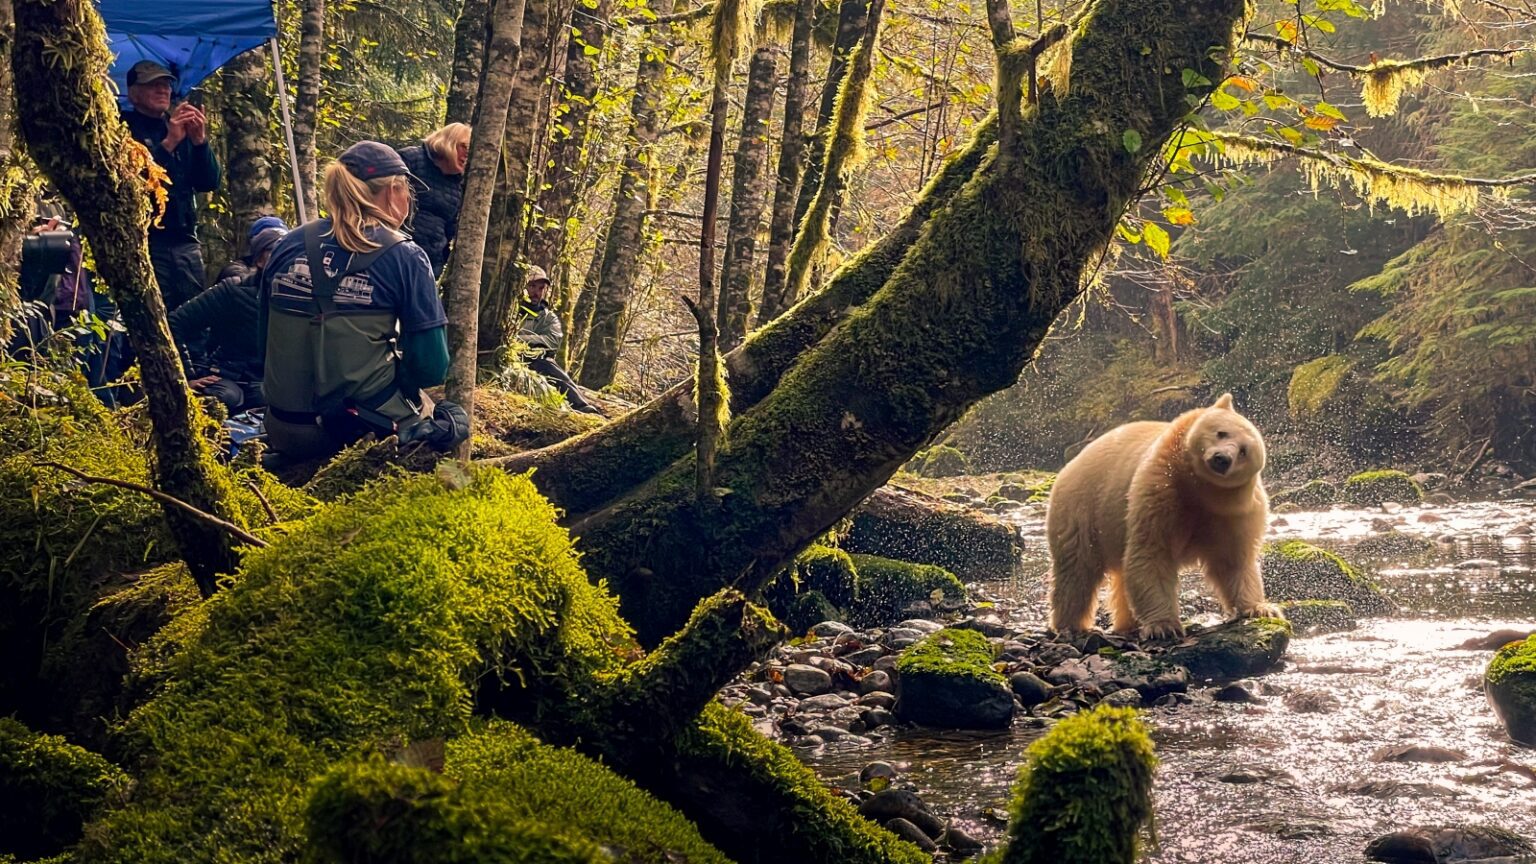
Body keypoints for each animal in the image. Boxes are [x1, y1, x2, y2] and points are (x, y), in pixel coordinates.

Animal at [1046, 393, 1283, 640]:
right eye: (1221, 432)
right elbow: (1152, 553)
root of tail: (1074, 461)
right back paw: (1072, 624)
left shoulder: (1234, 511)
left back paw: (1125, 623)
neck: (1201, 489)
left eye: (1243, 451)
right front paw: (1164, 626)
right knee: (1077, 567)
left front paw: (1261, 608)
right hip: (1083, 507)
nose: (1222, 458)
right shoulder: (1160, 488)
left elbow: (1233, 560)